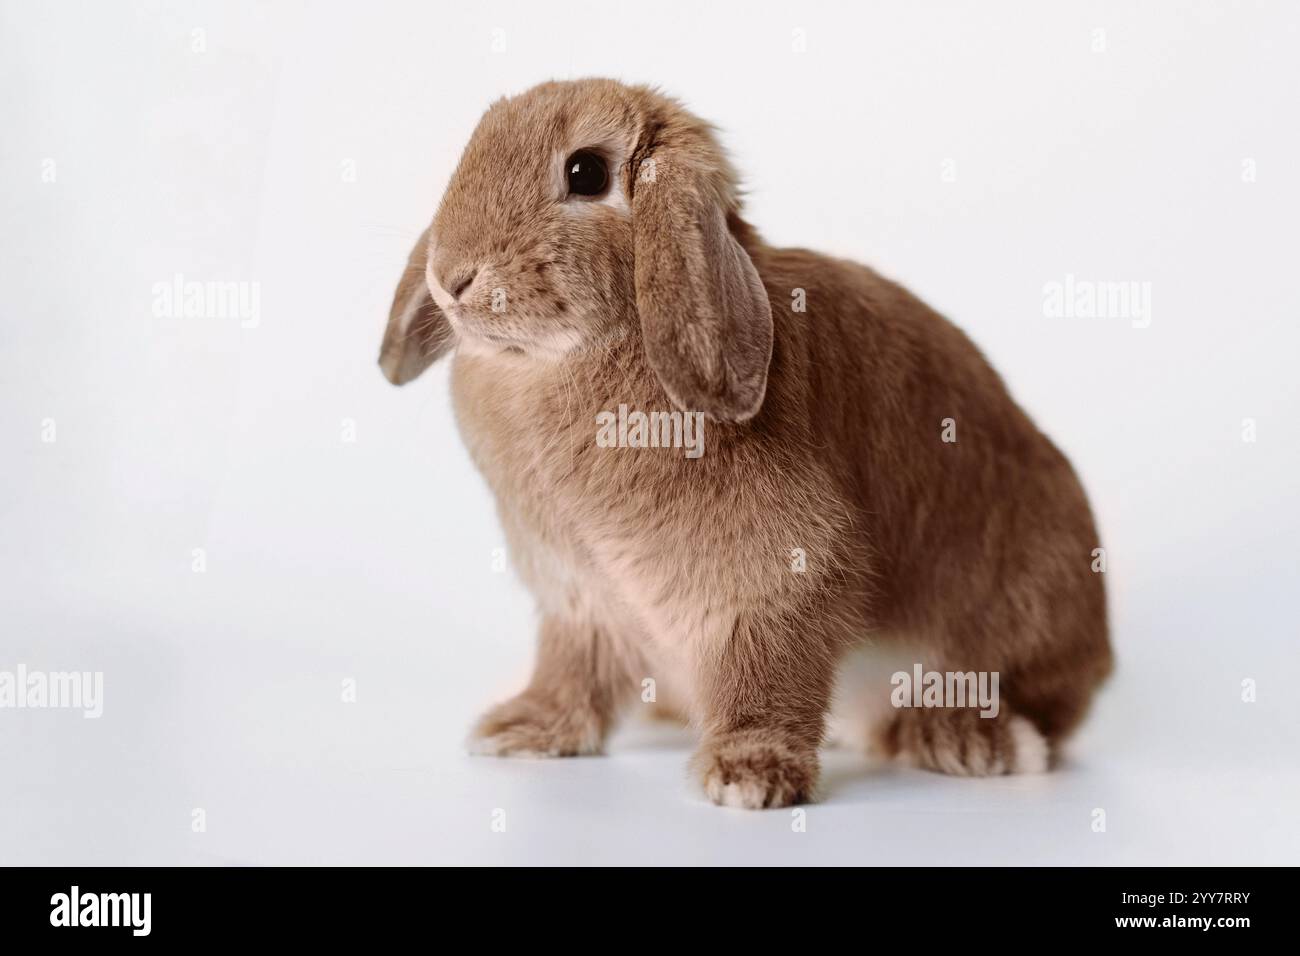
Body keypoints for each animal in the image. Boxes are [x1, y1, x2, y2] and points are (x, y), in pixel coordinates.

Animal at [379, 78, 1112, 808]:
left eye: (586, 173)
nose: (451, 276)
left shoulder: (780, 573)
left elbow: (767, 665)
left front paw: (749, 771)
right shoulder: (580, 596)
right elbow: (574, 670)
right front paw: (523, 729)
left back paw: (971, 741)